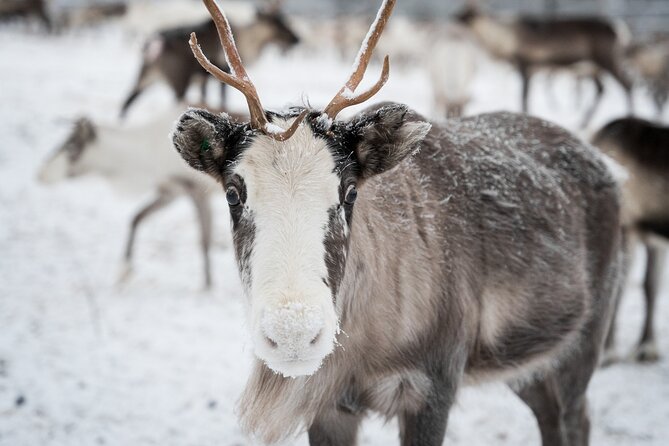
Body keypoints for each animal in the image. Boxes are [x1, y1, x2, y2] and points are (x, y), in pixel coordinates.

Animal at [38, 105, 224, 289]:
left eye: (71, 146)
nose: (41, 173)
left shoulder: (197, 192)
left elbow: (204, 240)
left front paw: (207, 286)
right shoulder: (170, 192)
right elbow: (136, 218)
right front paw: (125, 269)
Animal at [119, 1, 299, 119]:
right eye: (277, 22)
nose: (296, 39)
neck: (246, 42)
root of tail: (152, 44)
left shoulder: (203, 78)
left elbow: (205, 98)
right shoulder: (222, 69)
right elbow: (222, 99)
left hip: (146, 75)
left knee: (126, 101)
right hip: (179, 78)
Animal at [456, 3, 633, 129]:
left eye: (467, 15)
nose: (453, 18)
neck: (505, 40)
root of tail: (621, 30)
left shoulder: (526, 65)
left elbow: (524, 97)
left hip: (607, 60)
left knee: (627, 84)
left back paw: (629, 118)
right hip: (593, 68)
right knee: (601, 89)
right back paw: (583, 122)